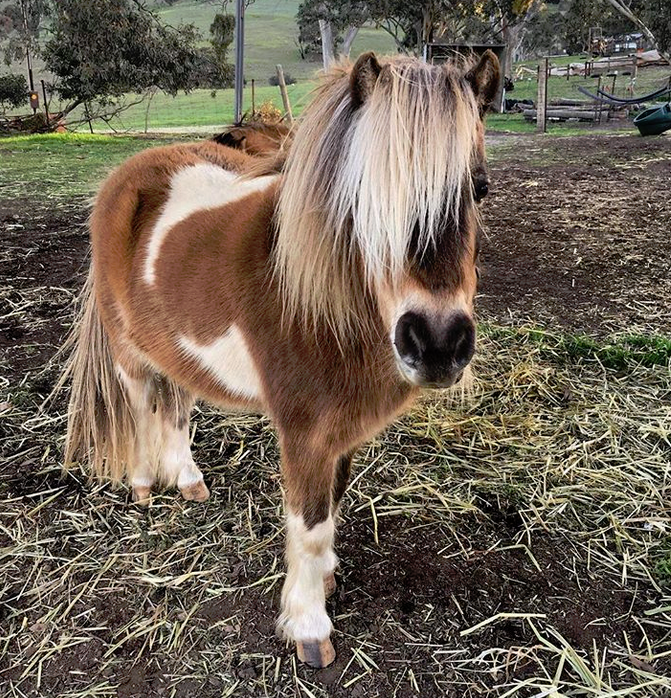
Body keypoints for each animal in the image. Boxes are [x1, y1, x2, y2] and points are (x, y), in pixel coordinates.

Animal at [63, 50, 499, 668]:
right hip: (131, 356)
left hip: (181, 350)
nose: (436, 343)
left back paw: (188, 481)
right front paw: (308, 625)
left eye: (479, 188)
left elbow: (332, 507)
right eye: (361, 197)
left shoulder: (342, 432)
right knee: (143, 406)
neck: (321, 300)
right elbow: (310, 525)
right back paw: (145, 484)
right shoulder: (306, 435)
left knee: (176, 410)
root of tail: (128, 174)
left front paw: (328, 578)